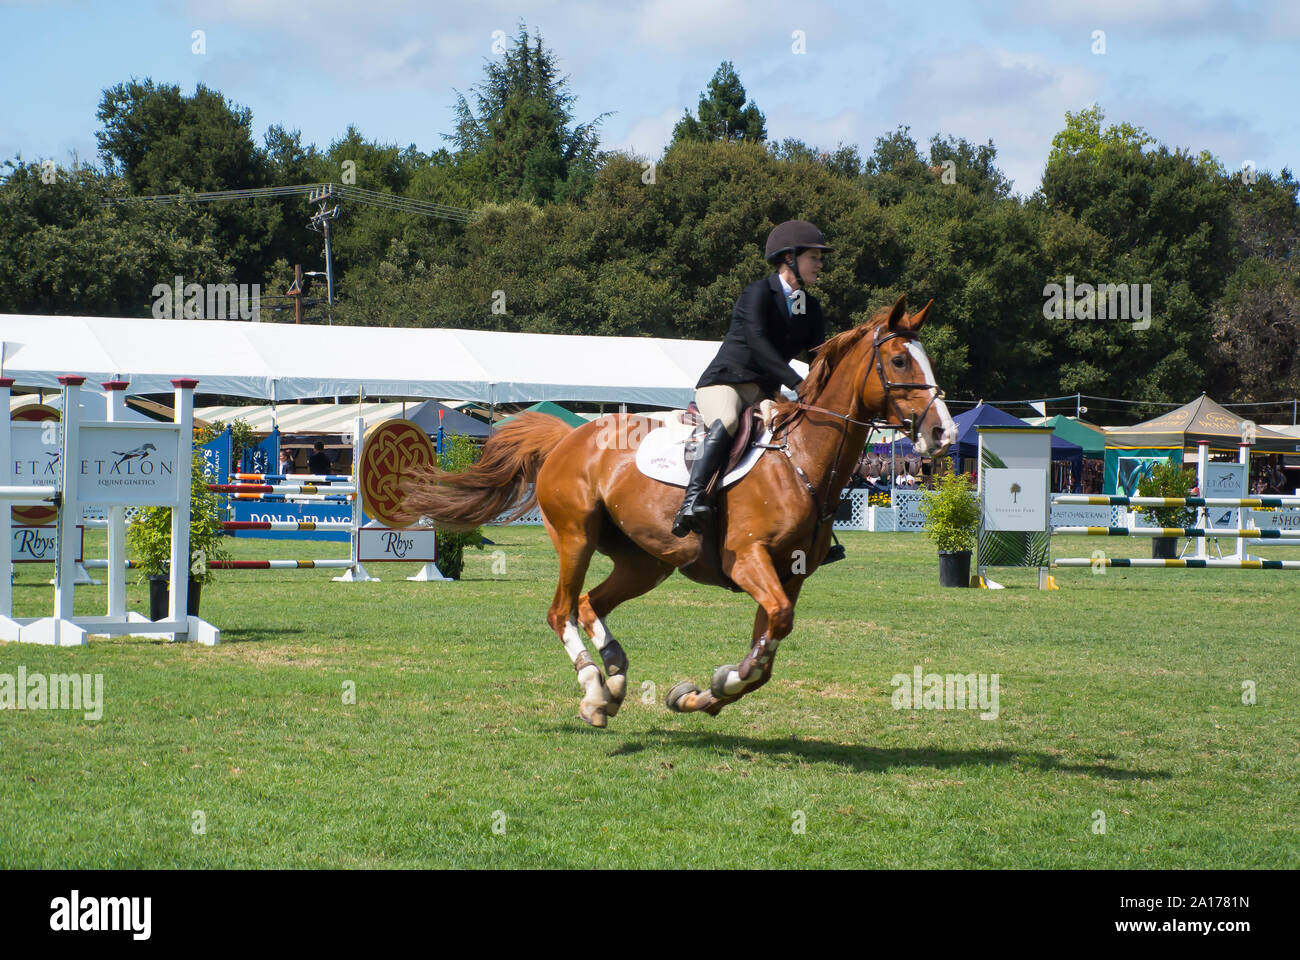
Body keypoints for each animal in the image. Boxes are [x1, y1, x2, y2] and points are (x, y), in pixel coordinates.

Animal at [399, 295, 957, 727]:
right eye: (900, 362)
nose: (943, 433)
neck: (798, 459)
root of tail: (568, 436)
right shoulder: (747, 560)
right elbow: (771, 634)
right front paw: (718, 684)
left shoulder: (789, 577)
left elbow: (768, 650)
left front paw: (703, 694)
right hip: (576, 536)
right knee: (562, 611)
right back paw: (594, 688)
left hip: (646, 561)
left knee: (590, 605)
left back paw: (614, 679)